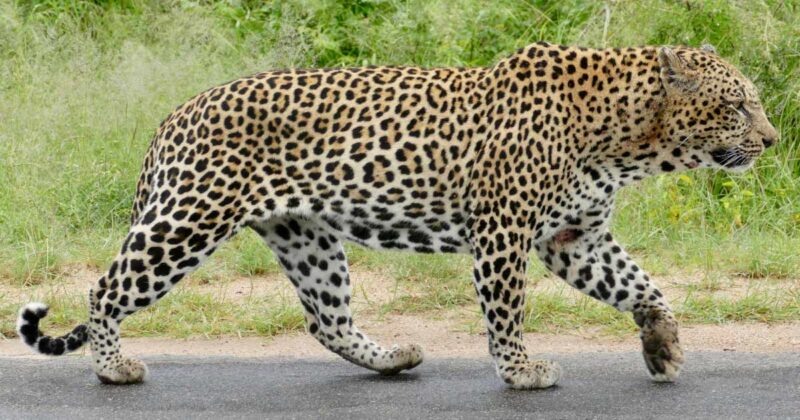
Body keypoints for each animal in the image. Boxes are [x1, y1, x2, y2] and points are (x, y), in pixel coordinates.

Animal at [17, 41, 778, 389]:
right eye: (739, 104)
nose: (772, 141)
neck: (630, 141)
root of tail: (176, 113)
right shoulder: (504, 233)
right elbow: (507, 313)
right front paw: (520, 373)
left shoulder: (574, 236)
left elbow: (643, 284)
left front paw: (663, 345)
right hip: (189, 220)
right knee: (104, 289)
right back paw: (114, 368)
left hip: (305, 236)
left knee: (326, 319)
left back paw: (391, 358)